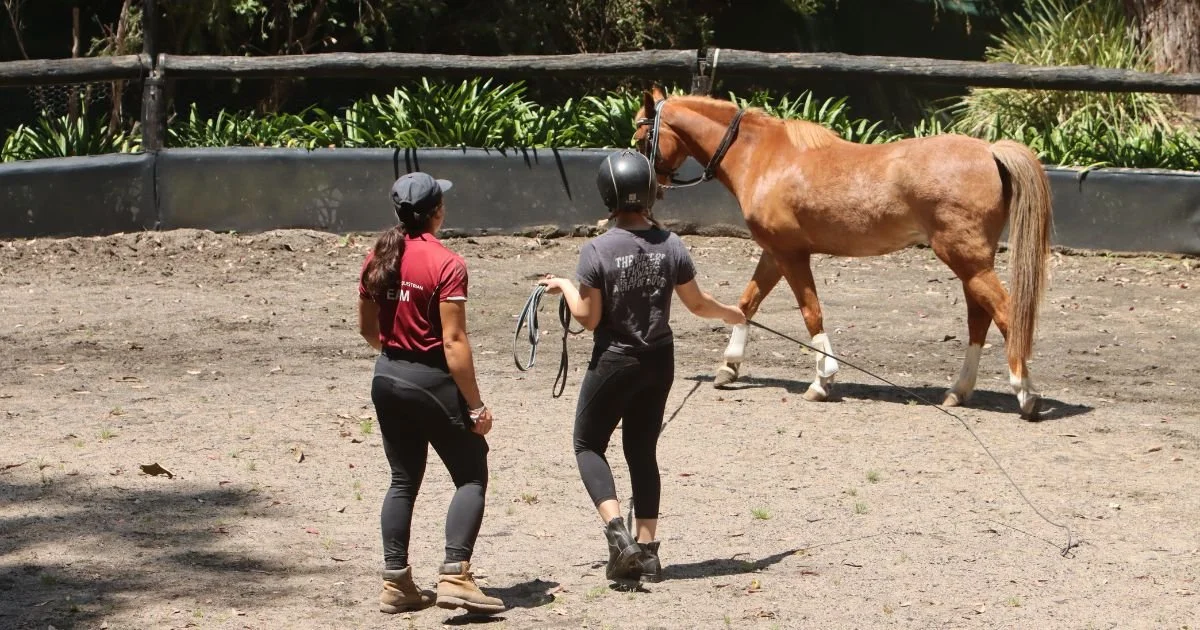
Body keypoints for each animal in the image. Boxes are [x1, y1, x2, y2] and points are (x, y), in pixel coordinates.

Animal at [632, 86, 1053, 419]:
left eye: (641, 139)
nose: (651, 191)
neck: (763, 156)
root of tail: (991, 151)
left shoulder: (791, 255)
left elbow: (811, 313)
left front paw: (822, 381)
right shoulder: (774, 252)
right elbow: (747, 303)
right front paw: (729, 367)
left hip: (967, 261)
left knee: (1006, 314)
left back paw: (1026, 394)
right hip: (972, 264)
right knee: (979, 321)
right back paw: (959, 392)